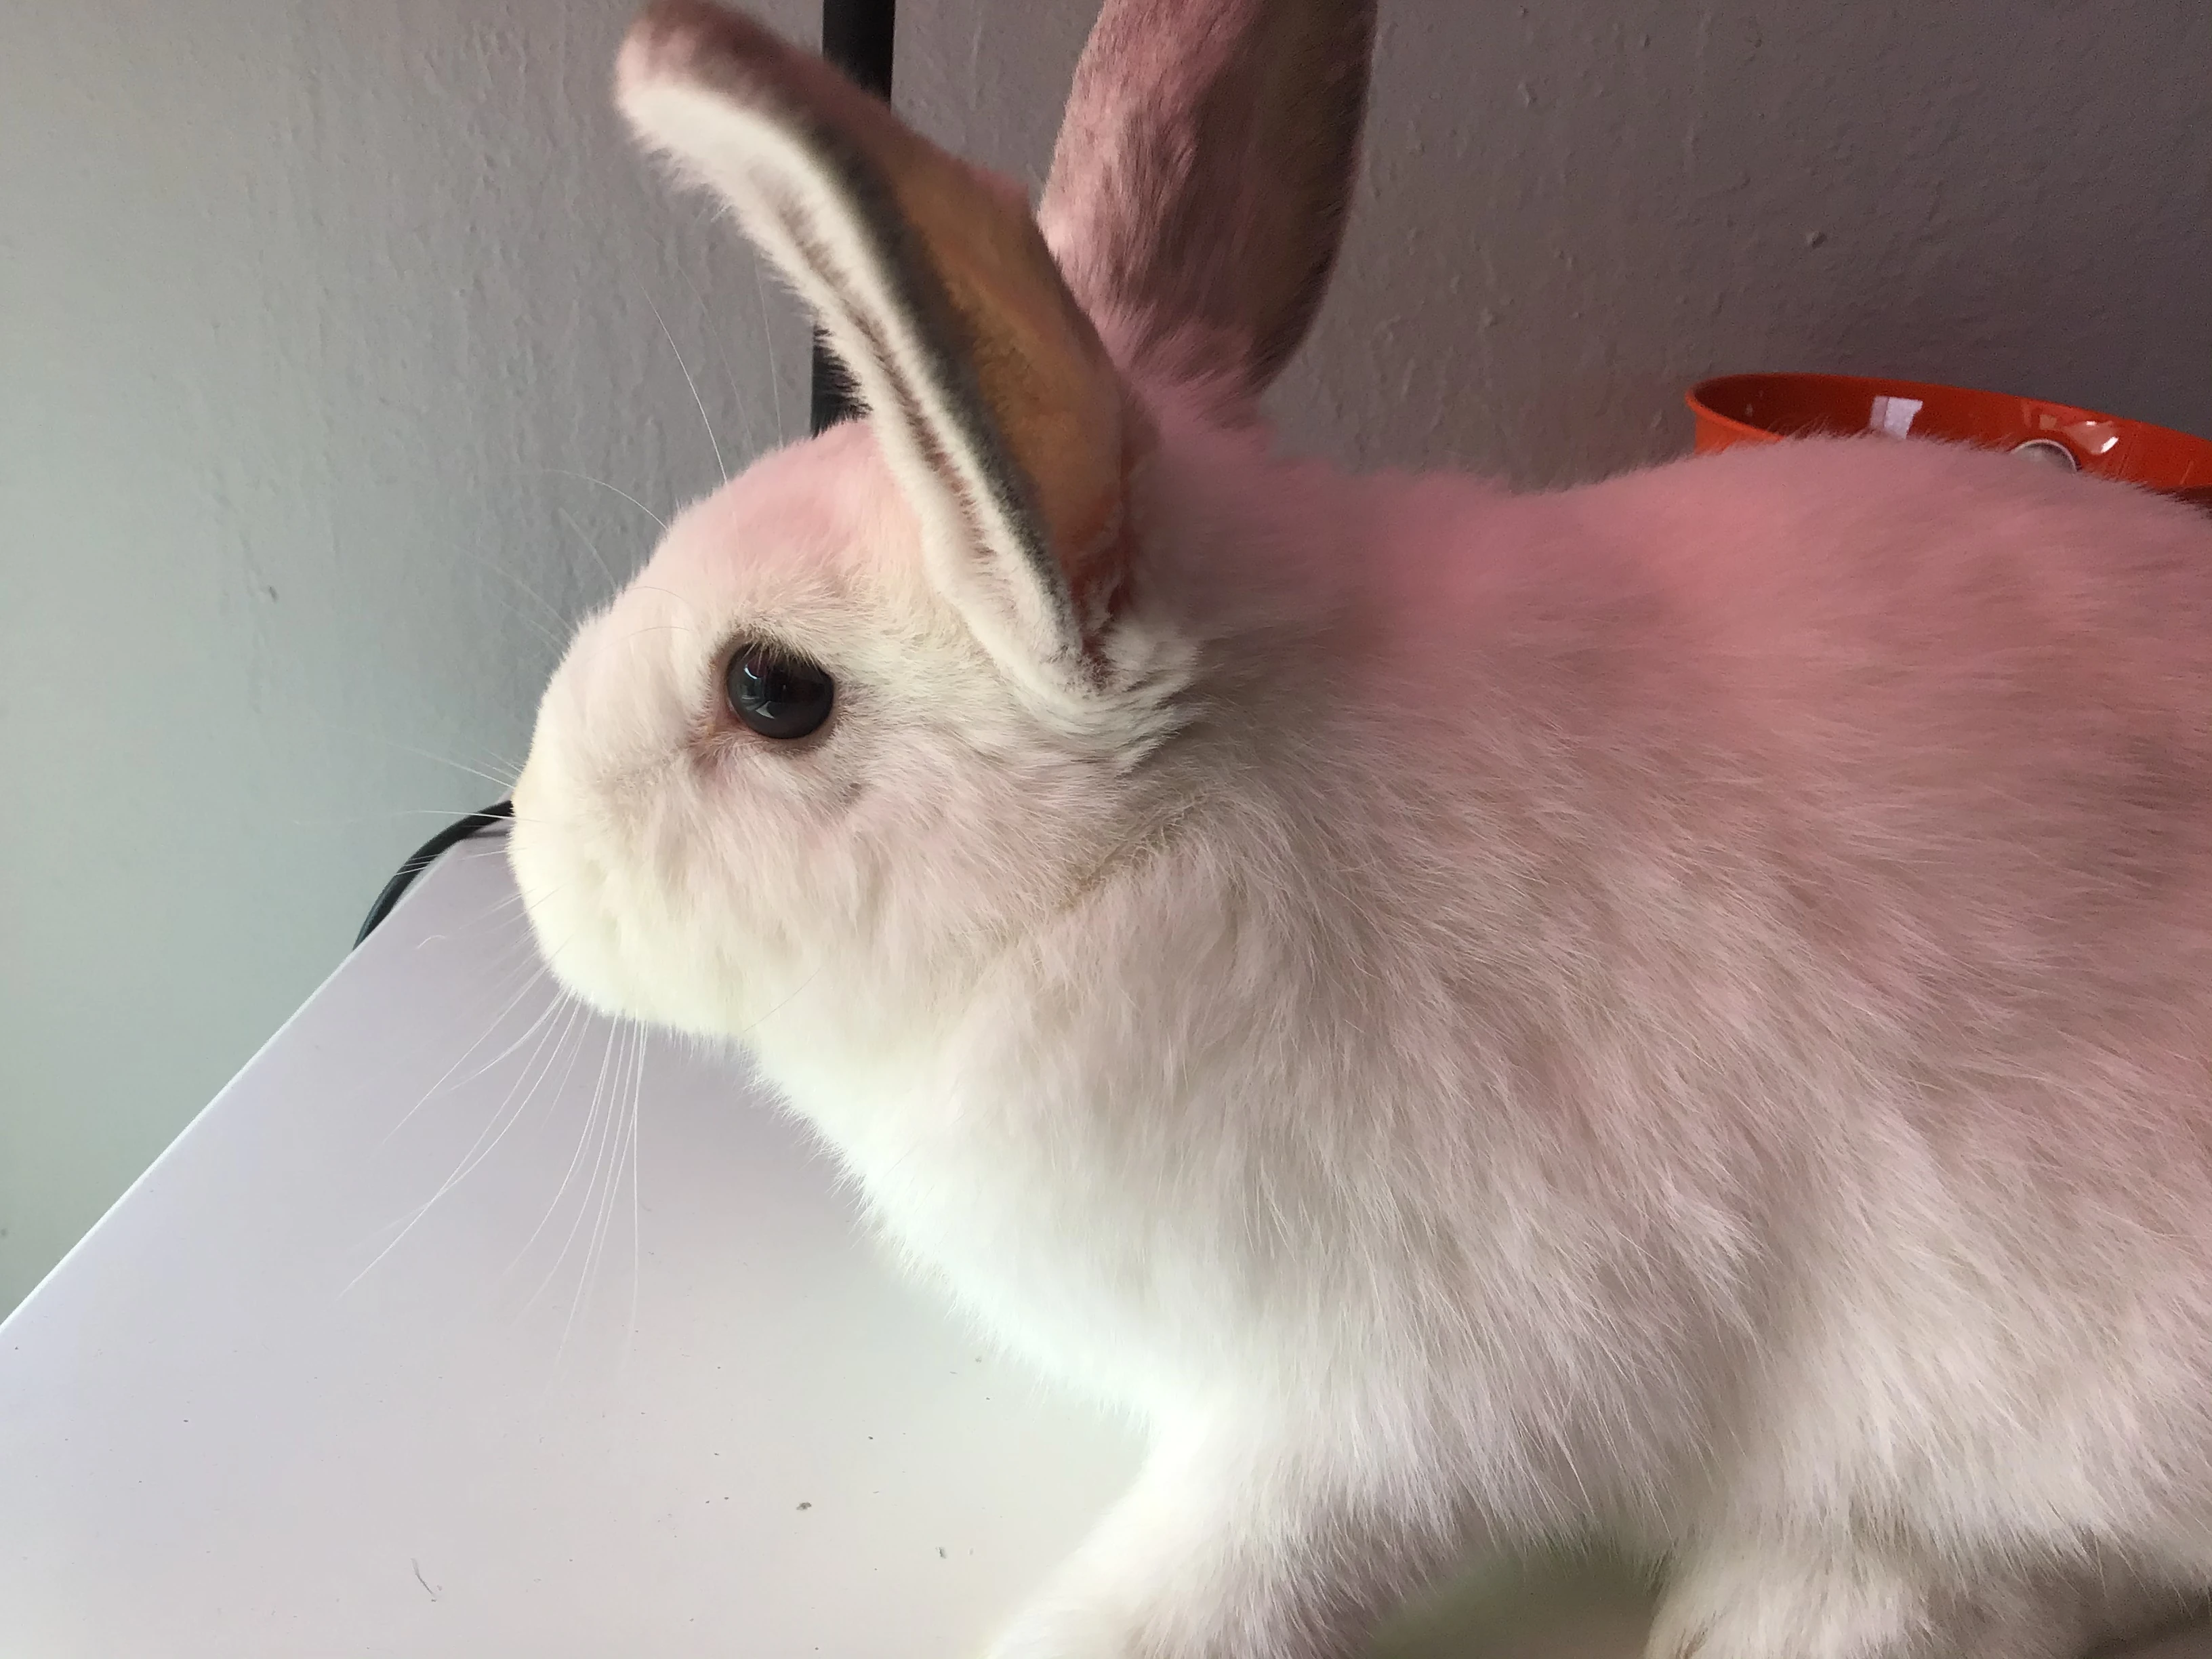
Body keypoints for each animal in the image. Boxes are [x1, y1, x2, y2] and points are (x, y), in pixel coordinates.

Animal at [504, 1, 2212, 1656]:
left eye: (774, 692)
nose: (529, 861)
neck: (1152, 858)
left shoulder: (1408, 1383)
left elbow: (1239, 1572)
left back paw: (1807, 1609)